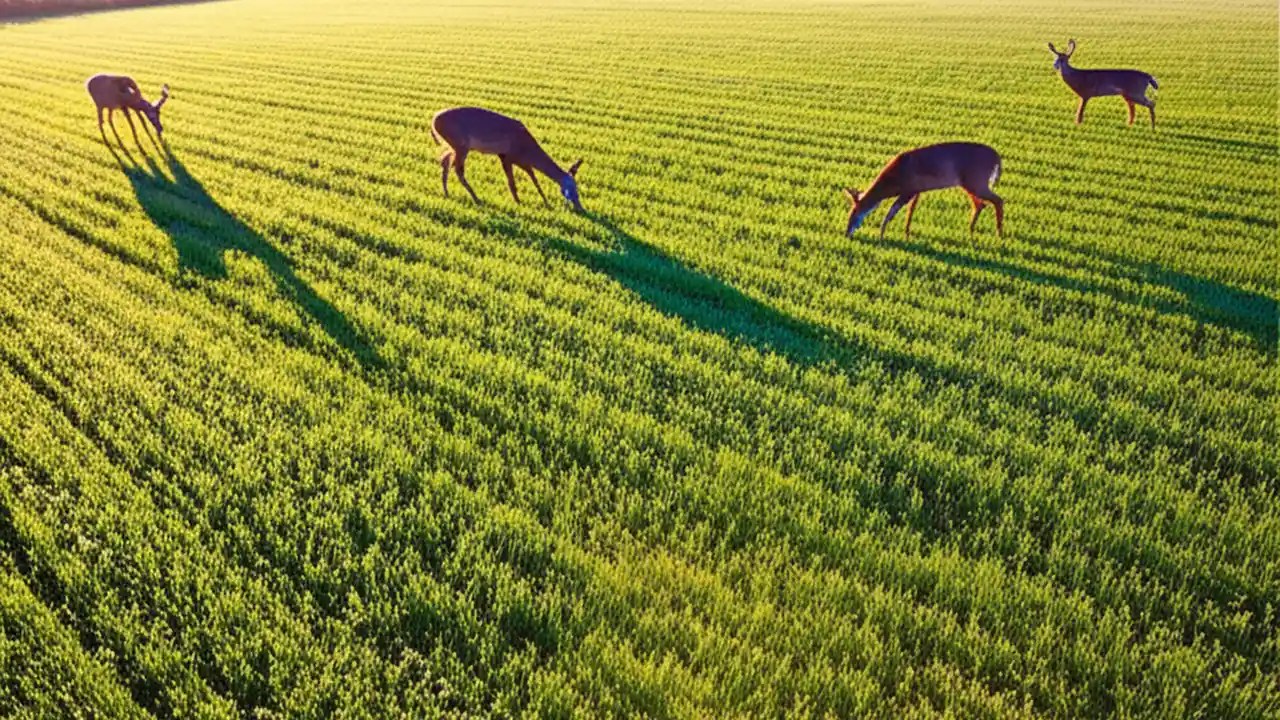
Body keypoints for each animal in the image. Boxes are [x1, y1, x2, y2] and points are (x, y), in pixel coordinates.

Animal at [430, 106, 583, 211]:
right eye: (573, 189)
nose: (580, 207)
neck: (527, 147)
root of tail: (434, 121)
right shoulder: (508, 156)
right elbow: (512, 183)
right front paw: (518, 202)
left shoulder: (518, 159)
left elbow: (533, 177)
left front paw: (546, 202)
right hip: (460, 144)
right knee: (457, 169)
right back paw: (476, 198)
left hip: (455, 145)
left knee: (445, 161)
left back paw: (447, 193)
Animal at [844, 142, 1004, 241]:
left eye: (853, 213)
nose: (846, 233)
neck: (894, 182)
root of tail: (997, 157)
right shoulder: (916, 190)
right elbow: (910, 211)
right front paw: (906, 233)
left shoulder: (908, 190)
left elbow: (891, 212)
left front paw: (881, 236)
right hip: (969, 183)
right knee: (980, 204)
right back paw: (971, 232)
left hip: (977, 180)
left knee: (998, 200)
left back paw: (999, 234)